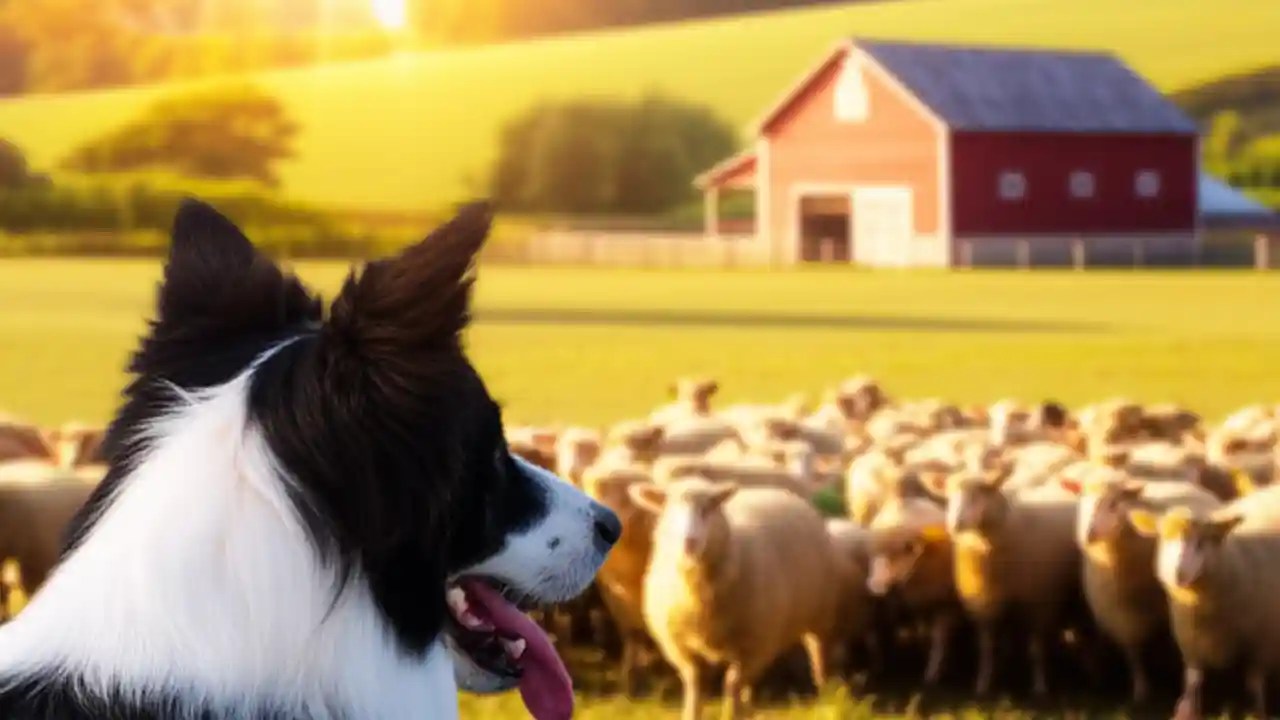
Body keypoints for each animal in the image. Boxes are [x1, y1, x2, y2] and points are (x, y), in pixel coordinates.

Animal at [631, 479, 838, 720]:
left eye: (708, 509)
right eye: (669, 509)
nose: (689, 542)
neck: (699, 597)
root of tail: (774, 489)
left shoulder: (753, 644)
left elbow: (732, 683)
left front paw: (731, 714)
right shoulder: (681, 646)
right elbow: (696, 683)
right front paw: (692, 714)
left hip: (818, 617)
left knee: (818, 655)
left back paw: (825, 697)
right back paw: (748, 710)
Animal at [933, 462, 1082, 697]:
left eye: (983, 491)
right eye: (948, 493)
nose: (955, 523)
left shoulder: (1038, 605)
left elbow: (1036, 651)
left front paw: (1040, 687)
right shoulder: (984, 606)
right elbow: (986, 649)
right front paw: (983, 684)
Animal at [1072, 470, 1221, 704]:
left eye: (1114, 503)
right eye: (1082, 498)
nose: (1087, 534)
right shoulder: (1122, 618)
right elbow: (1133, 655)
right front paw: (1141, 691)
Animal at [1127, 487, 1280, 720]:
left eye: (1201, 542)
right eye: (1164, 538)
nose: (1178, 573)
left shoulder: (1262, 643)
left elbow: (1254, 681)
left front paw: (1259, 712)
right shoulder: (1191, 640)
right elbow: (1193, 680)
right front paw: (1187, 711)